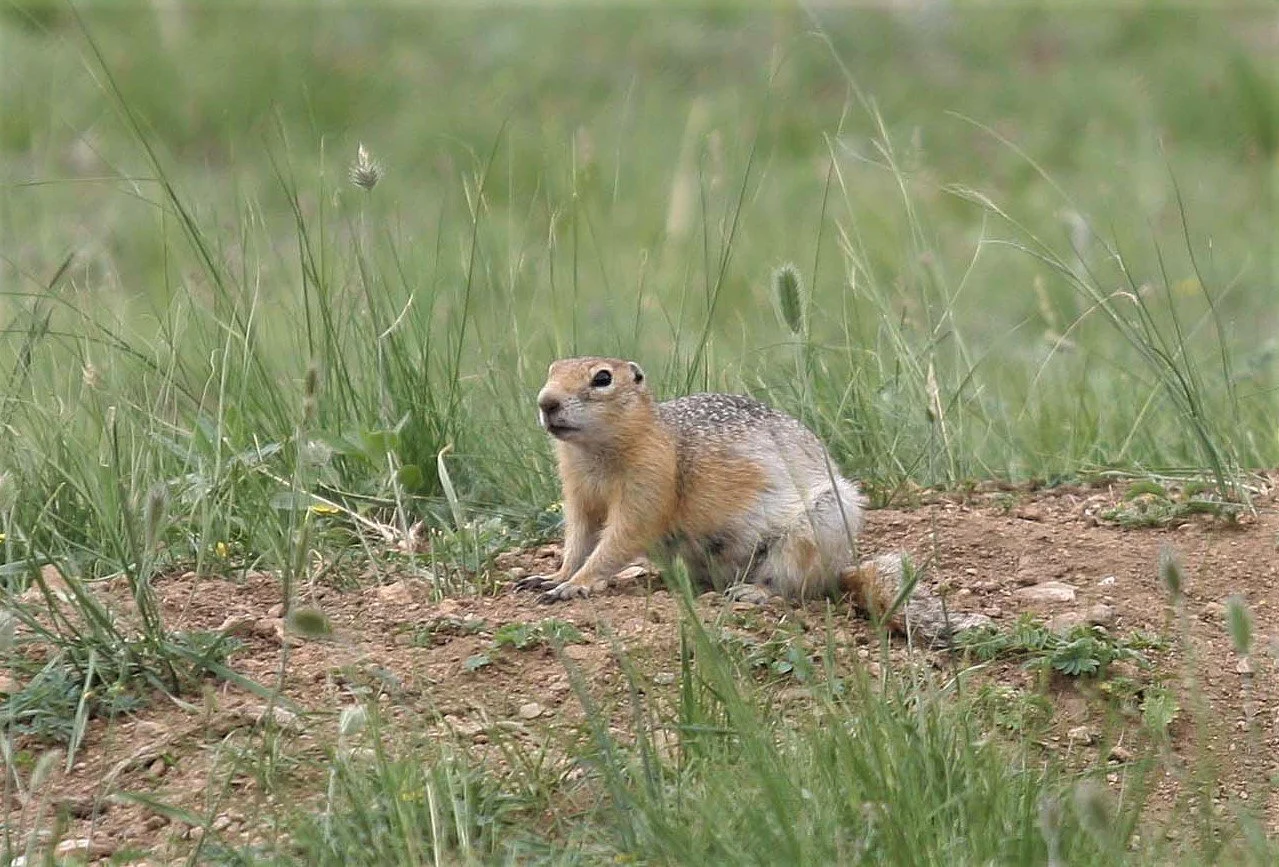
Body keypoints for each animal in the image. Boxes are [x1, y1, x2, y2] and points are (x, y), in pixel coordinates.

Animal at [516, 356, 877, 607]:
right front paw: (552, 577)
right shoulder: (579, 494)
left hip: (820, 525)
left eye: (602, 378)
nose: (545, 402)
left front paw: (574, 584)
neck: (593, 454)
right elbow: (579, 539)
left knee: (792, 582)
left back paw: (753, 592)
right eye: (552, 370)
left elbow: (622, 537)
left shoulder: (650, 481)